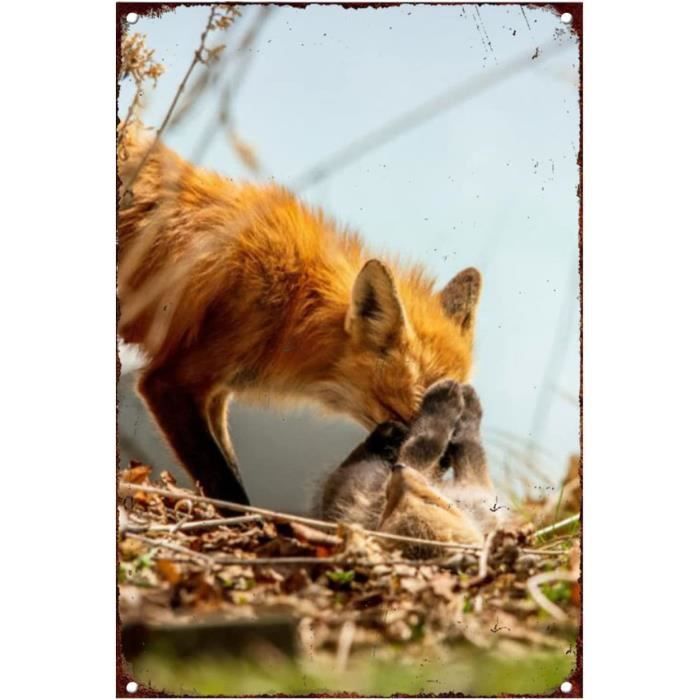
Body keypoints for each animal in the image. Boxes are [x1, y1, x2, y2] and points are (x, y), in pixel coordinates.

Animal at [117, 127, 483, 506]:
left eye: (457, 428)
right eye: (402, 415)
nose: (434, 478)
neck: (293, 304)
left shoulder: (216, 393)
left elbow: (230, 467)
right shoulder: (170, 383)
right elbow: (226, 485)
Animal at [315, 381, 504, 558]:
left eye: (388, 512)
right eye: (430, 501)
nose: (398, 468)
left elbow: (444, 442)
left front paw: (453, 400)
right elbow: (454, 443)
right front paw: (457, 399)